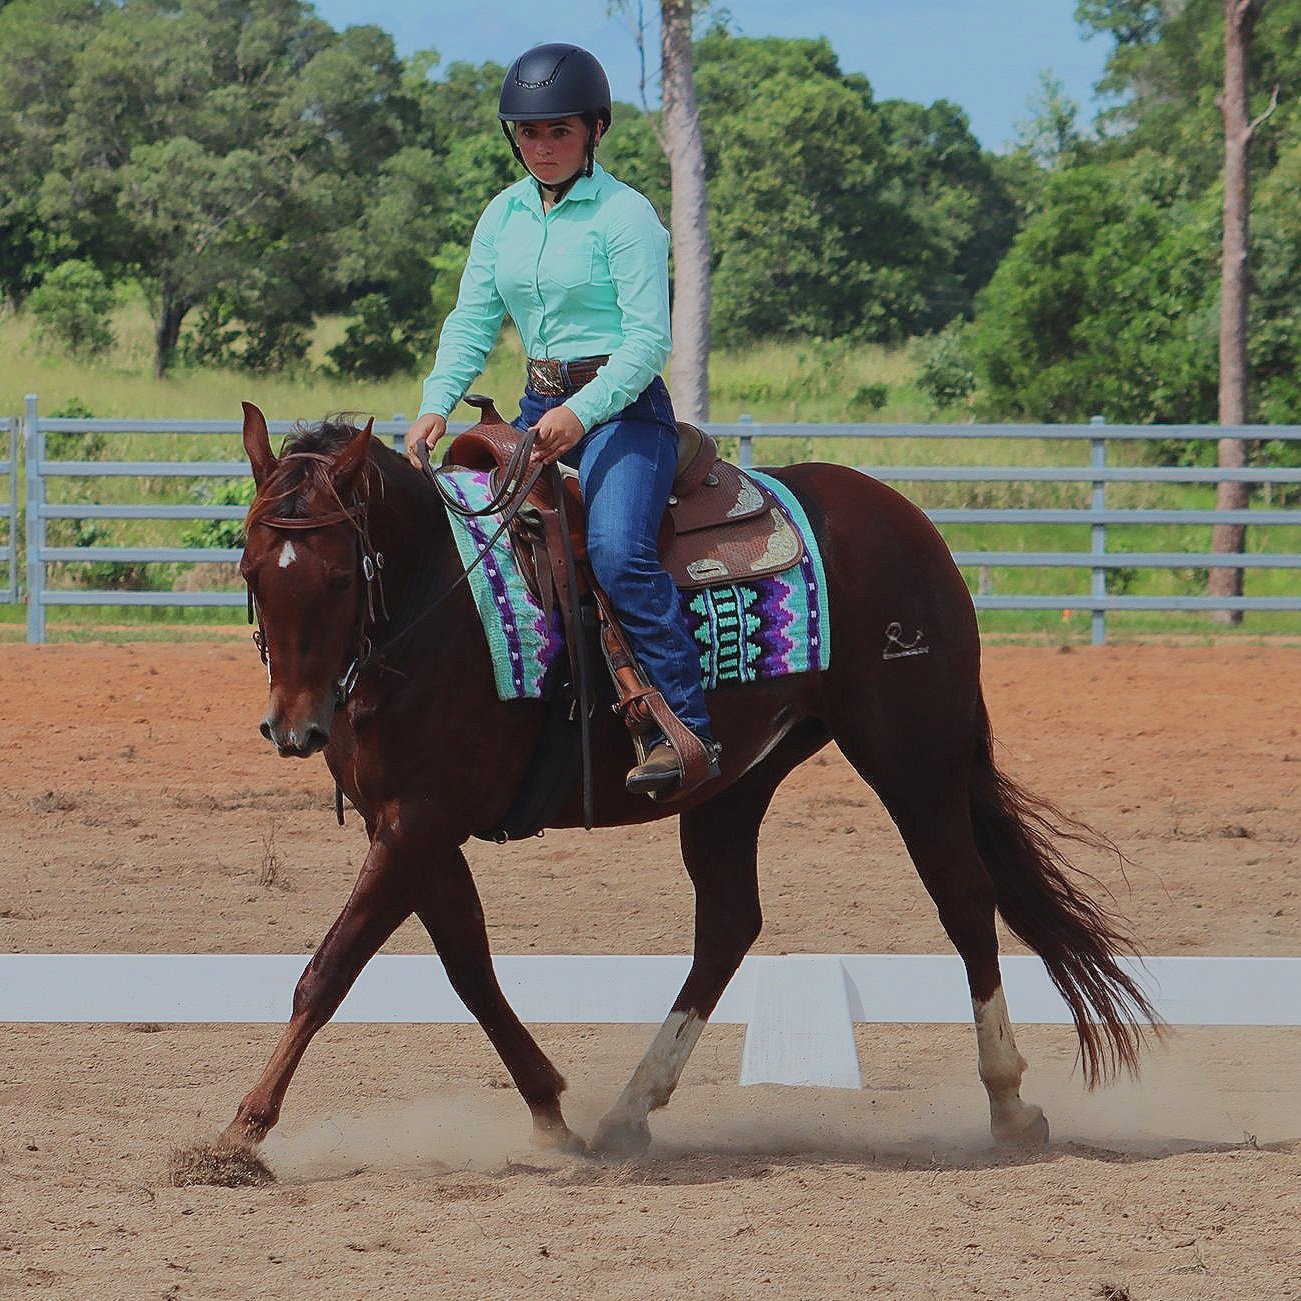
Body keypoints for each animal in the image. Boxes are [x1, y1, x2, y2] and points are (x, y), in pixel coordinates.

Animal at [215, 400, 1156, 1167]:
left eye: (340, 574)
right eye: (254, 570)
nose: (293, 729)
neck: (435, 602)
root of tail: (903, 517)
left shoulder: (420, 821)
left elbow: (331, 968)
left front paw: (241, 1130)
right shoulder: (413, 827)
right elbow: (469, 967)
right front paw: (550, 1111)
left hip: (913, 758)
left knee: (962, 898)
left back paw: (1008, 1102)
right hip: (735, 781)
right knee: (728, 925)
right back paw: (630, 1110)